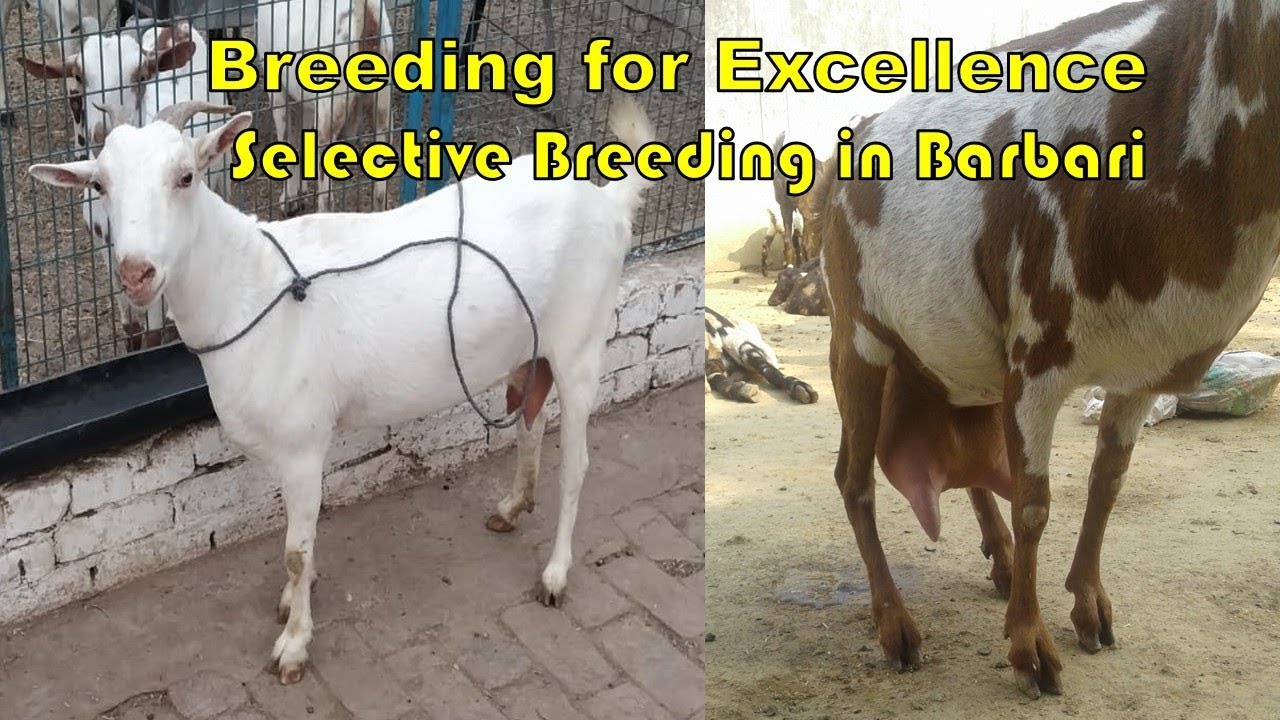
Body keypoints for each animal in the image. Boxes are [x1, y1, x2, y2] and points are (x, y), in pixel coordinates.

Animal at [28, 96, 656, 684]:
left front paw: (293, 646)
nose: (136, 273)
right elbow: (296, 541)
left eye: (186, 176)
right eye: (100, 185)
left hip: (581, 343)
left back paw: (555, 574)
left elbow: (294, 551)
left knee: (577, 462)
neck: (250, 284)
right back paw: (512, 506)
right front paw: (291, 606)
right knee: (531, 417)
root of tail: (608, 203)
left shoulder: (304, 444)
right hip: (531, 345)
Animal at [256, 0, 394, 216]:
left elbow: (286, 140)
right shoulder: (307, 103)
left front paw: (289, 198)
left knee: (327, 198)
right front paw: (299, 191)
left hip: (328, 121)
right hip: (383, 114)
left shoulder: (278, 93)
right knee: (380, 193)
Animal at [816, 0, 1280, 699]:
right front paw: (1030, 647)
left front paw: (1088, 604)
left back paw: (1003, 564)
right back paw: (896, 624)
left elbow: (1107, 481)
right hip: (858, 333)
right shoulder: (1035, 357)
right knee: (855, 478)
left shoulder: (1137, 368)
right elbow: (1034, 503)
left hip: (961, 359)